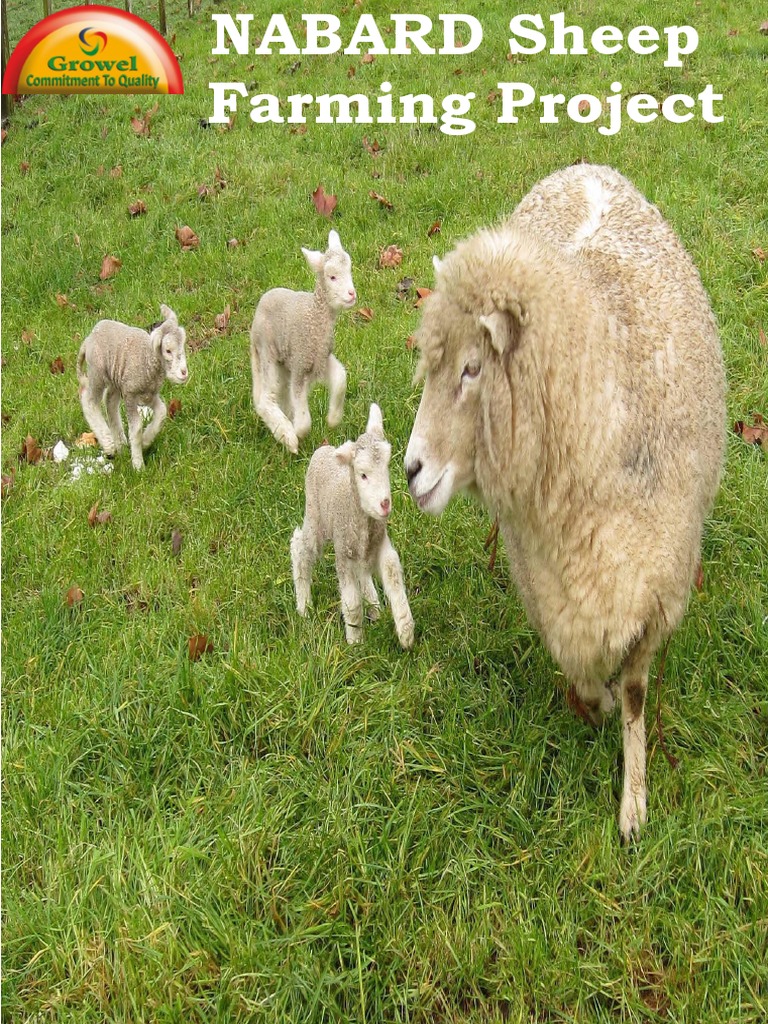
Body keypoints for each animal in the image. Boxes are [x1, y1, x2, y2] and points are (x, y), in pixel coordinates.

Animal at [77, 304, 188, 470]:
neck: (147, 359)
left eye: (183, 345)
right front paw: (138, 465)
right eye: (168, 350)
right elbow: (136, 428)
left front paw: (146, 441)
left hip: (116, 379)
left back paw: (120, 443)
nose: (184, 372)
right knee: (89, 400)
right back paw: (109, 444)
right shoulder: (130, 395)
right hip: (97, 372)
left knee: (110, 402)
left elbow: (162, 412)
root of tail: (89, 338)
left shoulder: (149, 395)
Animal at [250, 229, 356, 454]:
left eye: (349, 270)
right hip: (267, 351)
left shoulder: (321, 359)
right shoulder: (300, 363)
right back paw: (286, 436)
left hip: (284, 362)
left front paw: (333, 419)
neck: (315, 317)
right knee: (266, 398)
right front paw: (298, 431)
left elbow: (341, 379)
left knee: (281, 393)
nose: (352, 294)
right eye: (332, 277)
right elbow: (304, 416)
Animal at [291, 403, 415, 649]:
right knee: (300, 548)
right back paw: (304, 606)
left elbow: (393, 579)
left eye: (386, 467)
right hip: (315, 515)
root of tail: (323, 450)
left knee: (364, 574)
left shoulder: (381, 545)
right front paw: (355, 642)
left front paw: (406, 632)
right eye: (363, 475)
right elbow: (352, 603)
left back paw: (375, 609)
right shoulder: (343, 554)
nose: (385, 504)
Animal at [404, 163, 726, 839]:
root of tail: (584, 166)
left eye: (473, 369)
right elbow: (583, 673)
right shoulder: (551, 593)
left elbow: (634, 695)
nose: (411, 471)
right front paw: (593, 706)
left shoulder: (654, 593)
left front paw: (633, 805)